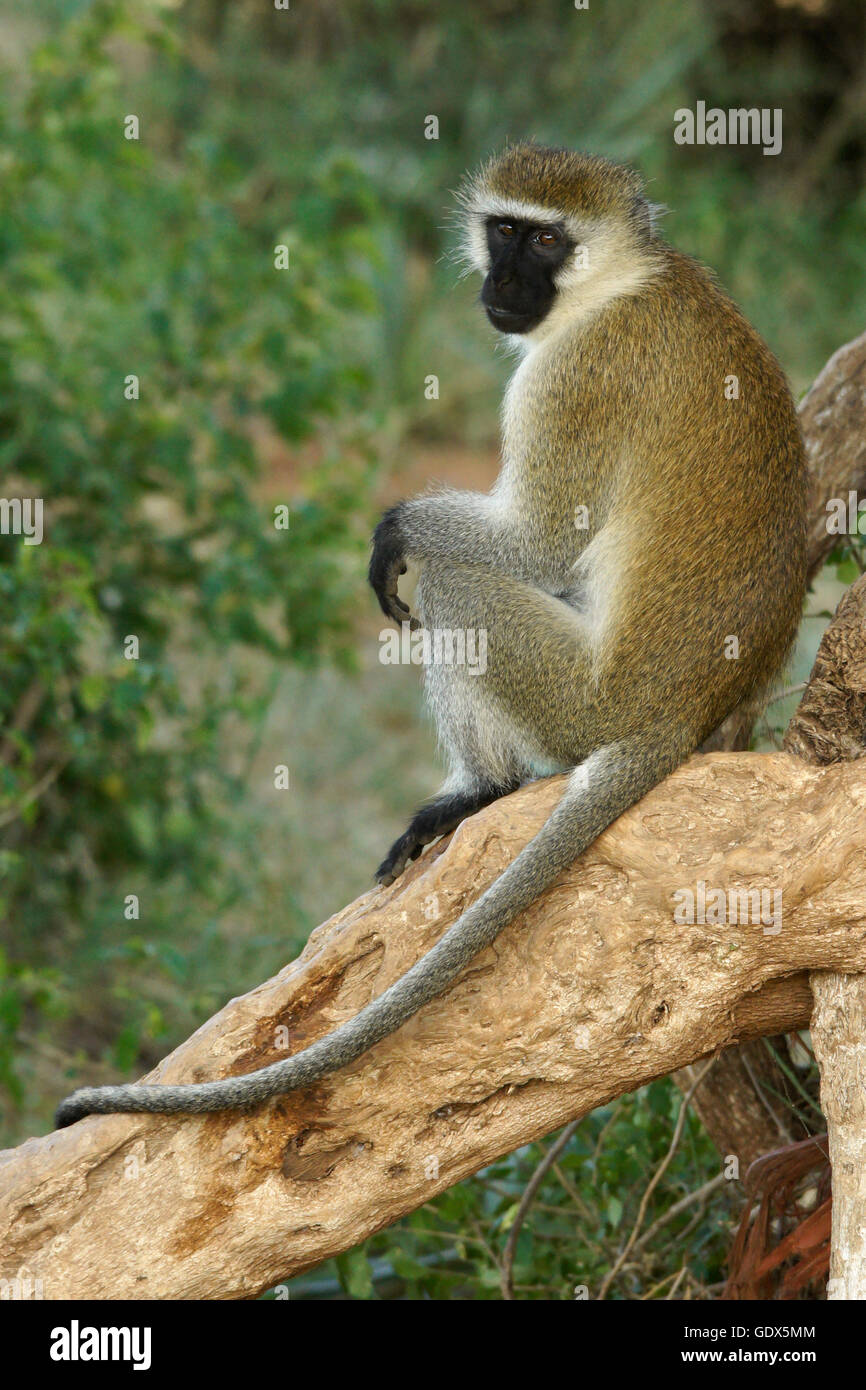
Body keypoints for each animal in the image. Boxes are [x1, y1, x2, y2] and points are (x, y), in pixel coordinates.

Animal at [55, 143, 807, 1127]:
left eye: (547, 241)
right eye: (504, 229)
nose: (505, 282)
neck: (619, 283)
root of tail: (674, 722)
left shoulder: (575, 379)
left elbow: (533, 541)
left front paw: (397, 528)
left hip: (579, 700)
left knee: (453, 585)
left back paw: (481, 788)